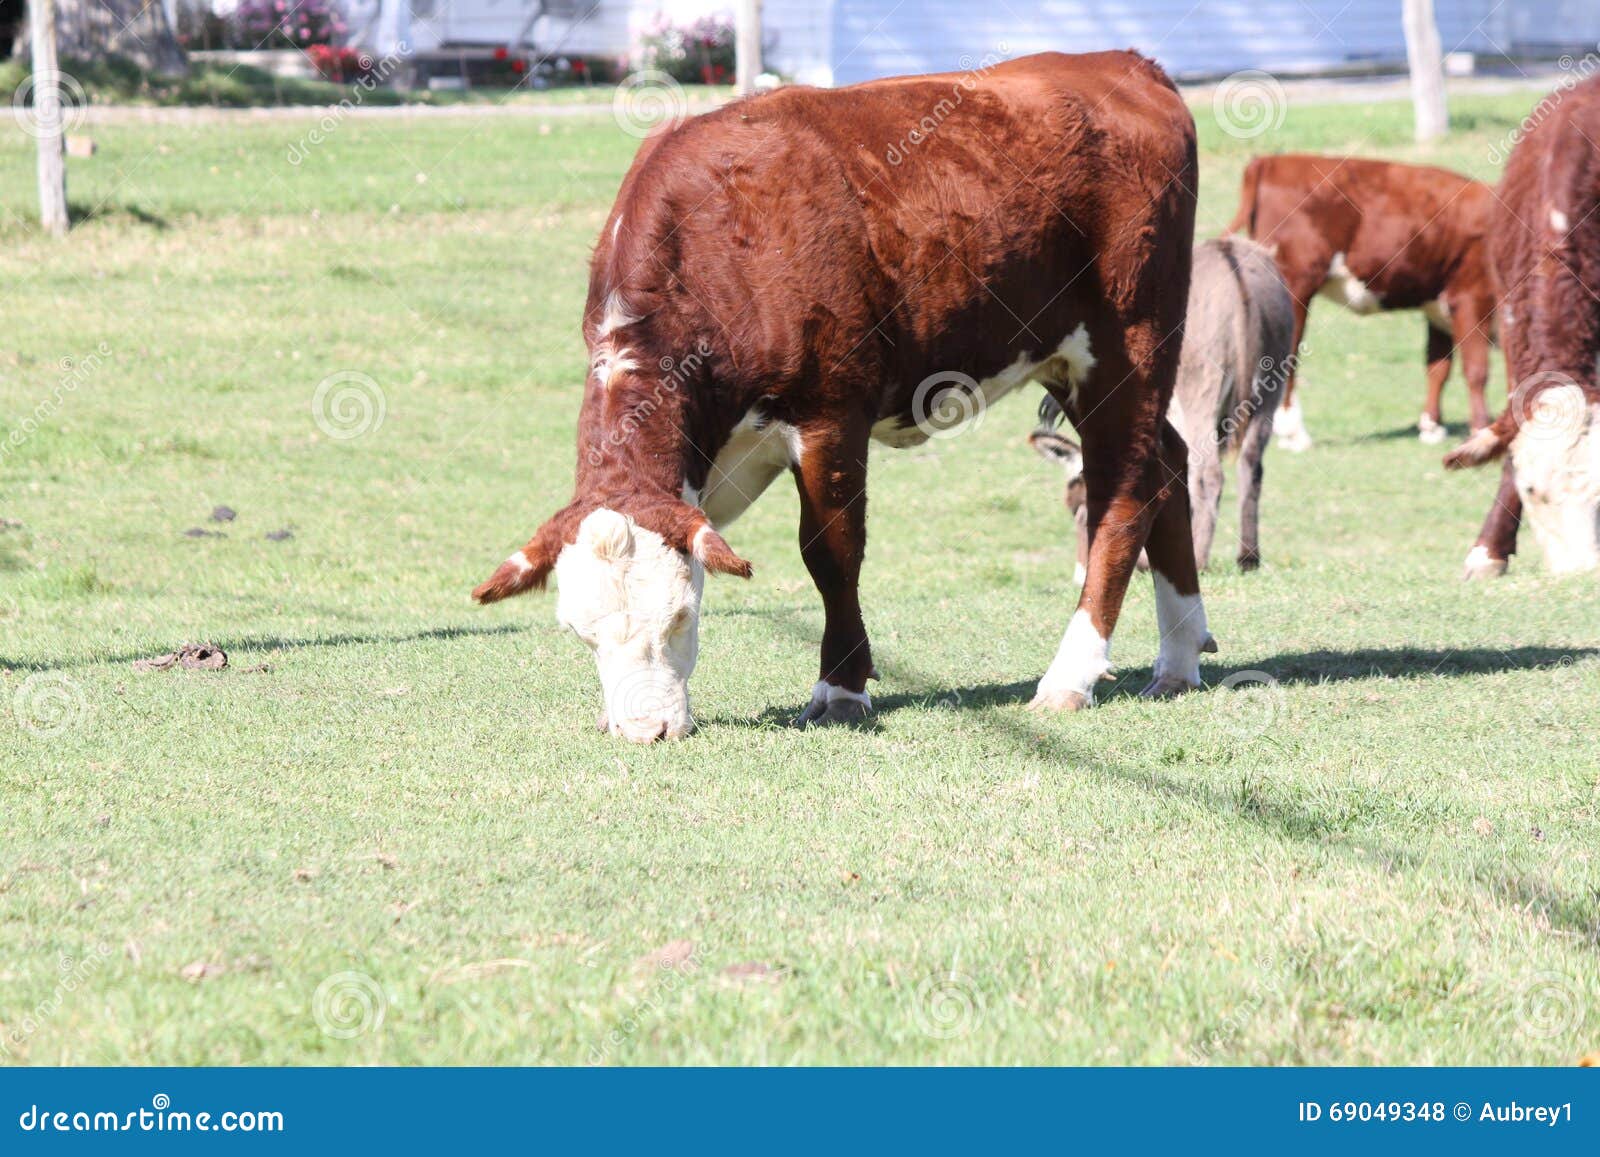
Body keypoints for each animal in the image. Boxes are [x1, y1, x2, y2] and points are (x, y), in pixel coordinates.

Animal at [471, 51, 1215, 742]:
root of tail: (1126, 65)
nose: (647, 728)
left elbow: (831, 553)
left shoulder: (829, 414)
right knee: (1169, 462)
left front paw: (841, 689)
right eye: (582, 632)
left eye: (683, 614)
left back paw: (1072, 675)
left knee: (1124, 495)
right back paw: (1180, 656)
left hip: (1130, 344)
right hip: (1067, 355)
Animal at [1031, 236, 1292, 577]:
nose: (1079, 576)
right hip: (1269, 391)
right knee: (1252, 466)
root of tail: (1230, 258)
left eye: (1079, 511)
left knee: (1210, 475)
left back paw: (1201, 559)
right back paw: (1248, 558)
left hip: (1201, 398)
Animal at [1226, 154, 1499, 451]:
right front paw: (1481, 429)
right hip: (1295, 288)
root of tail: (1270, 160)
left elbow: (1438, 366)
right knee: (1284, 360)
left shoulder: (1437, 305)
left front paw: (1432, 426)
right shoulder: (1472, 297)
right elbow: (1477, 370)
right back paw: (1293, 433)